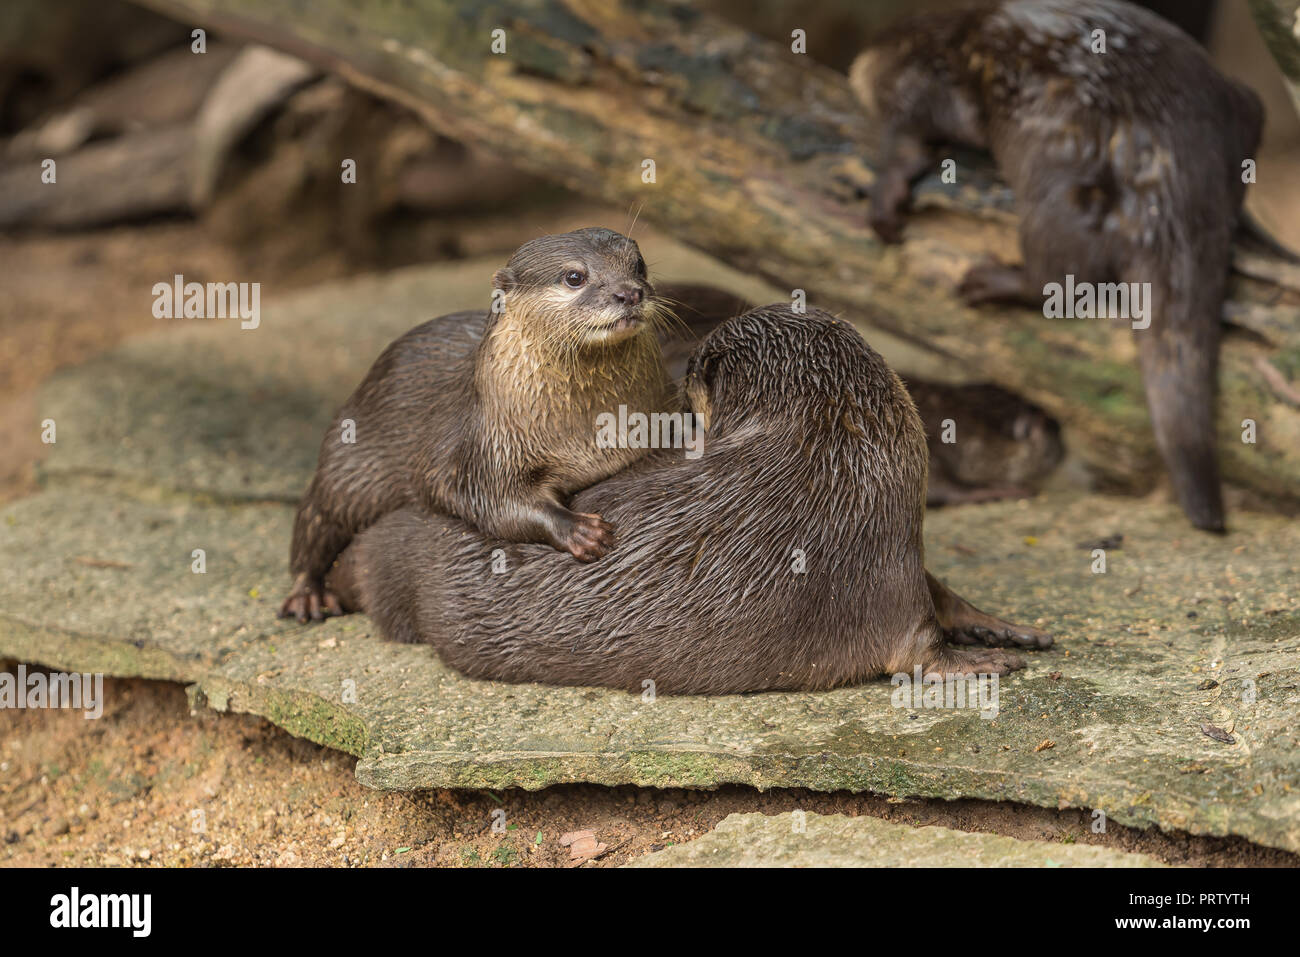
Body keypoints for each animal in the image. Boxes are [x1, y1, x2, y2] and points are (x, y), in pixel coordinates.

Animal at [280, 227, 671, 622]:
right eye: (574, 277)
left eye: (638, 265)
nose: (629, 292)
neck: (588, 432)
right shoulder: (484, 448)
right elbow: (494, 503)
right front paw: (579, 530)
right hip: (347, 470)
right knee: (314, 521)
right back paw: (306, 595)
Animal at [326, 305, 1052, 695]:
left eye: (695, 370)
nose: (672, 396)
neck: (837, 455)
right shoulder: (885, 561)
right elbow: (919, 645)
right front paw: (985, 659)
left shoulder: (907, 545)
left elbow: (947, 594)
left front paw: (1010, 626)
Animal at [849, 0, 1264, 532]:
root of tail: (1177, 162)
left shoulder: (930, 83)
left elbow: (910, 138)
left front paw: (885, 197)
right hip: (1246, 108)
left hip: (1056, 174)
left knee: (1061, 270)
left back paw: (991, 280)